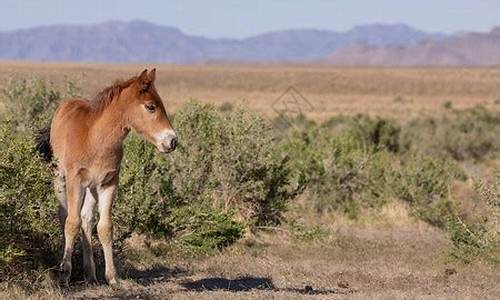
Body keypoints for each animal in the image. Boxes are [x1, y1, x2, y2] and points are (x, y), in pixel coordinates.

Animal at [47, 68, 176, 286]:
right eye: (151, 107)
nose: (172, 141)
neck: (95, 138)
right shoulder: (75, 180)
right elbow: (72, 223)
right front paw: (64, 274)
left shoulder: (108, 183)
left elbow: (105, 227)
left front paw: (113, 277)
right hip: (61, 177)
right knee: (65, 215)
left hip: (92, 187)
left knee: (86, 219)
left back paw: (90, 275)